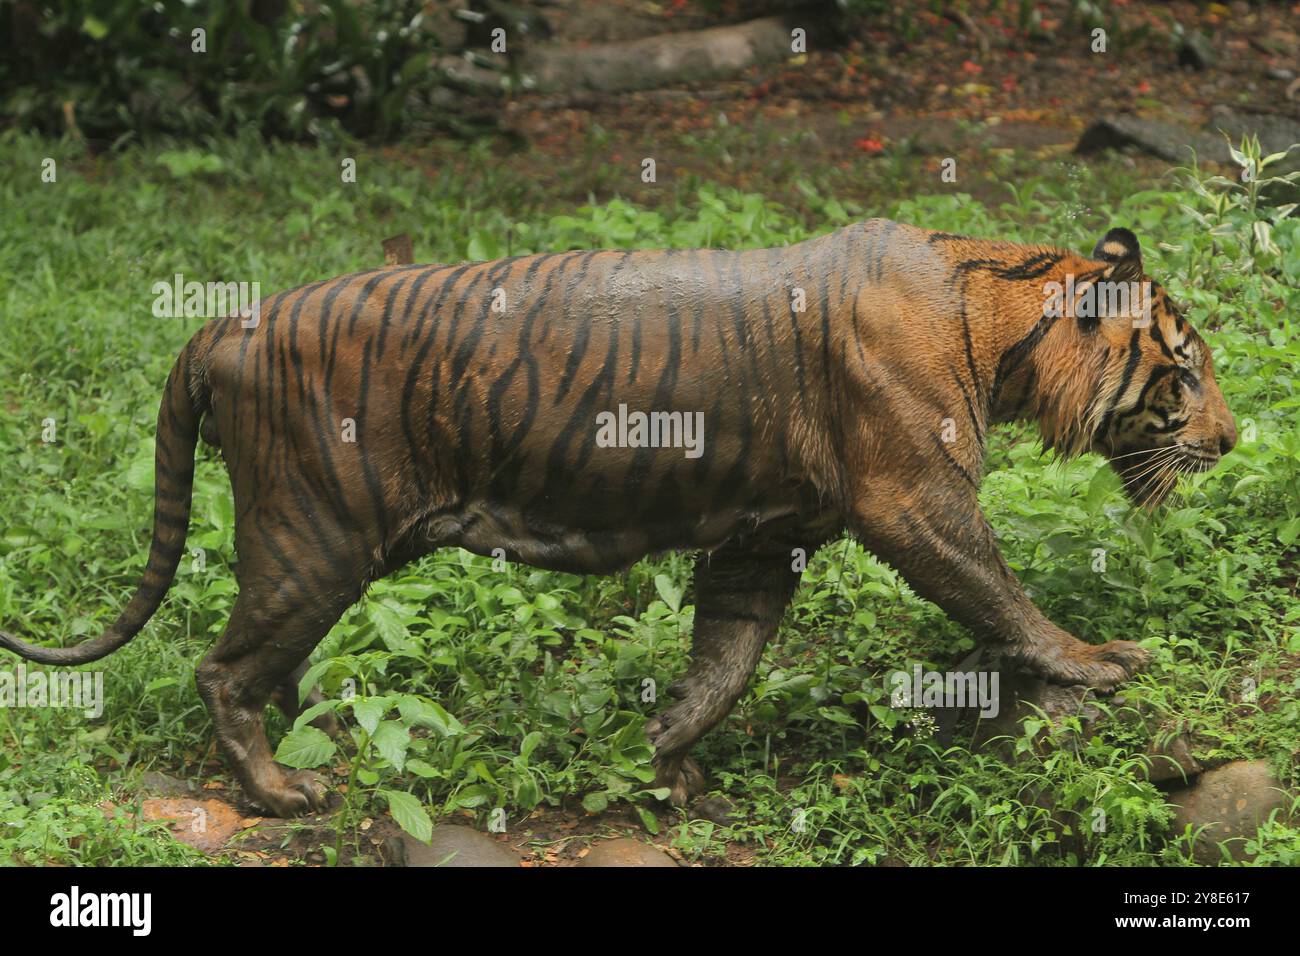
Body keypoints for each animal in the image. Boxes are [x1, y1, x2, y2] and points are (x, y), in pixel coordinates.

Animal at [0, 221, 1236, 816]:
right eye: (1184, 370)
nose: (1231, 444)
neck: (999, 323)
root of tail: (224, 322)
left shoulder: (763, 535)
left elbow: (721, 664)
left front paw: (655, 763)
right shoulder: (915, 503)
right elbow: (1001, 592)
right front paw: (1098, 659)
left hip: (320, 550)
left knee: (277, 665)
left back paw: (329, 748)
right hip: (315, 534)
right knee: (223, 670)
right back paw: (281, 792)